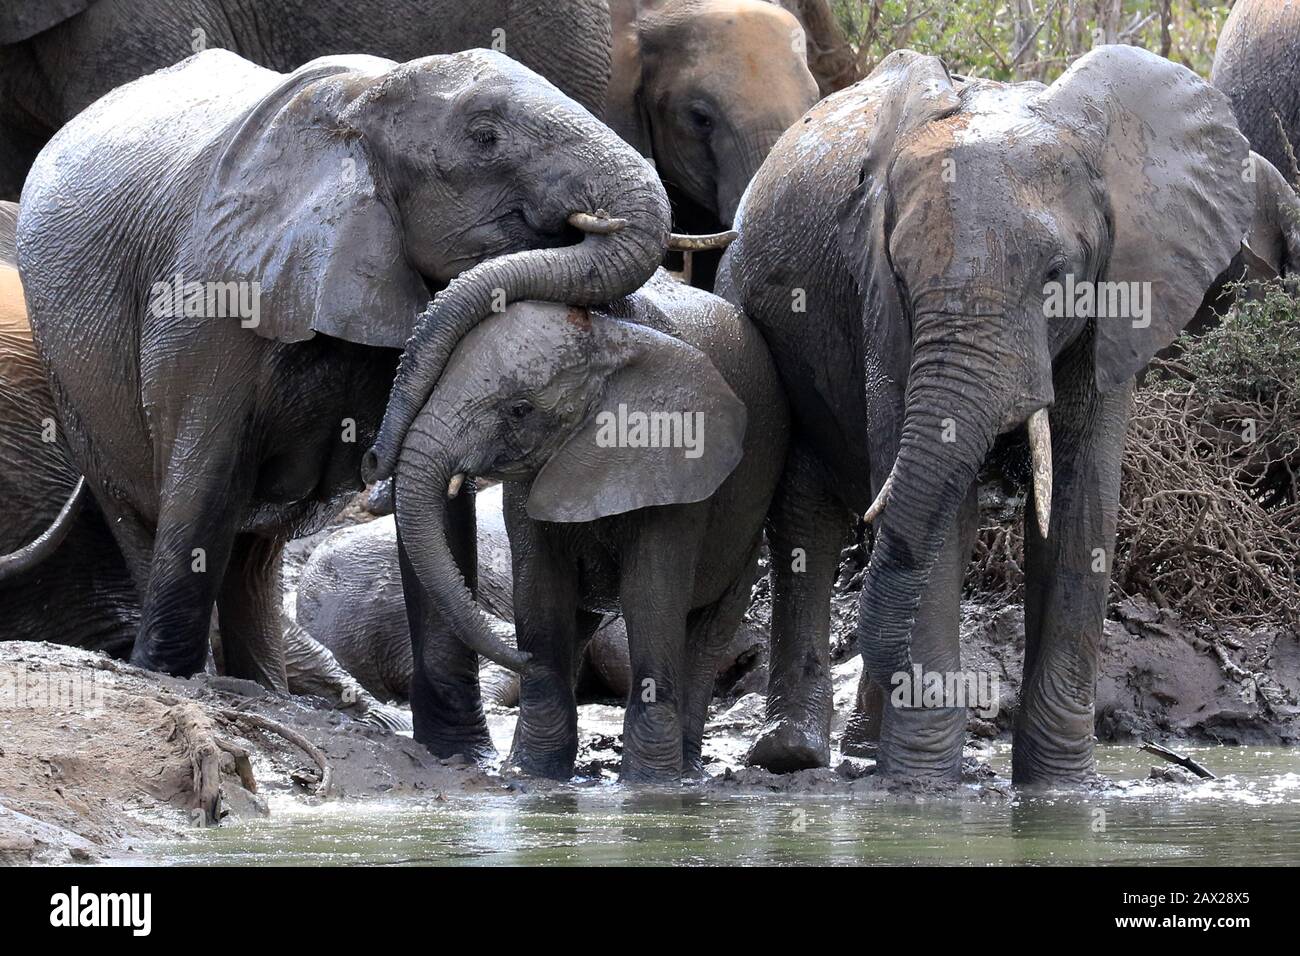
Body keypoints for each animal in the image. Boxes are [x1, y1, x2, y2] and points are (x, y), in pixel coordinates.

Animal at [11, 49, 674, 694]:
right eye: (485, 138)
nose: (375, 460)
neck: (363, 100)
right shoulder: (210, 292)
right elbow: (205, 475)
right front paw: (167, 675)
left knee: (254, 551)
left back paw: (264, 688)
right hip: (69, 373)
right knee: (147, 510)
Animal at [390, 271, 788, 782]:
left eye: (520, 409)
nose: (518, 659)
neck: (611, 337)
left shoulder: (682, 469)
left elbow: (650, 598)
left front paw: (650, 786)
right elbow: (541, 593)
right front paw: (535, 775)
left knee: (706, 633)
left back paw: (689, 770)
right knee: (579, 624)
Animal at [720, 46, 1290, 785]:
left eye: (1056, 277)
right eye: (900, 276)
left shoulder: (1118, 297)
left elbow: (1082, 506)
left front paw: (1059, 790)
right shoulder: (880, 311)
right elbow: (932, 509)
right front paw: (923, 790)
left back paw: (863, 750)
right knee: (812, 516)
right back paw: (793, 755)